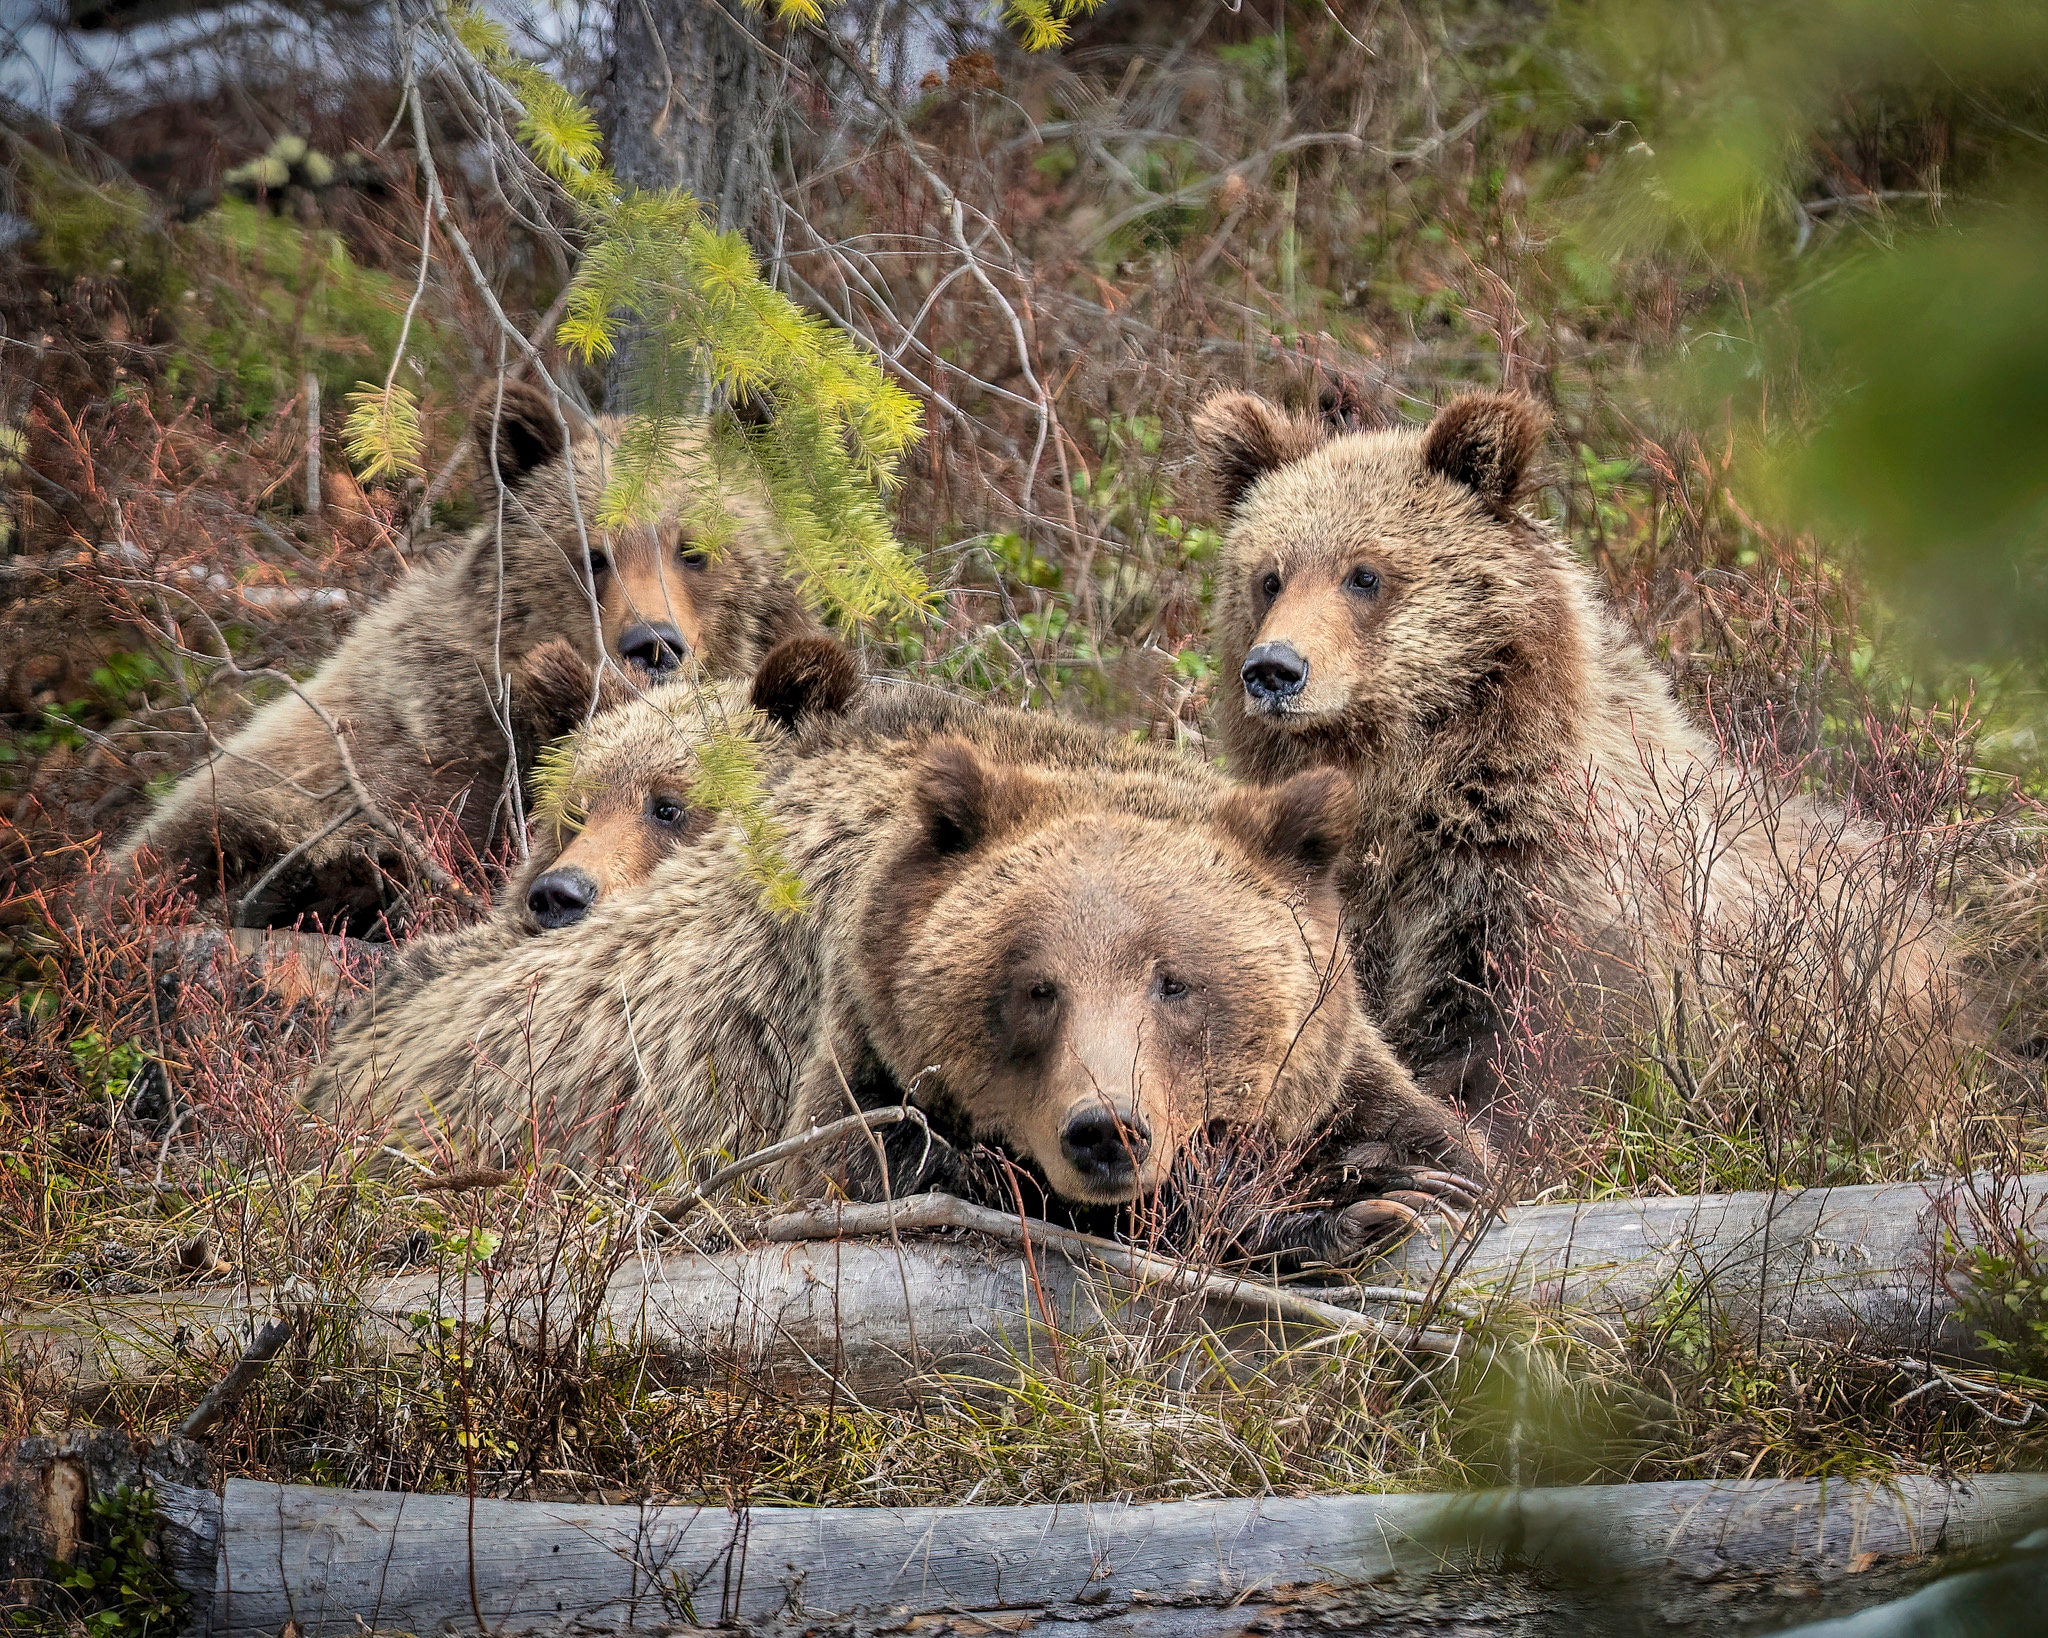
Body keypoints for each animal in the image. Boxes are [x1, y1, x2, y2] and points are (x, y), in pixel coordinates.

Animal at [312, 691, 1486, 1264]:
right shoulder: (840, 1062)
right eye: (1035, 985)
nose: (1106, 1132)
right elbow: (909, 1175)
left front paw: (1400, 1186)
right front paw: (1330, 1211)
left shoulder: (1334, 1053)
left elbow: (1432, 1139)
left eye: (1176, 981)